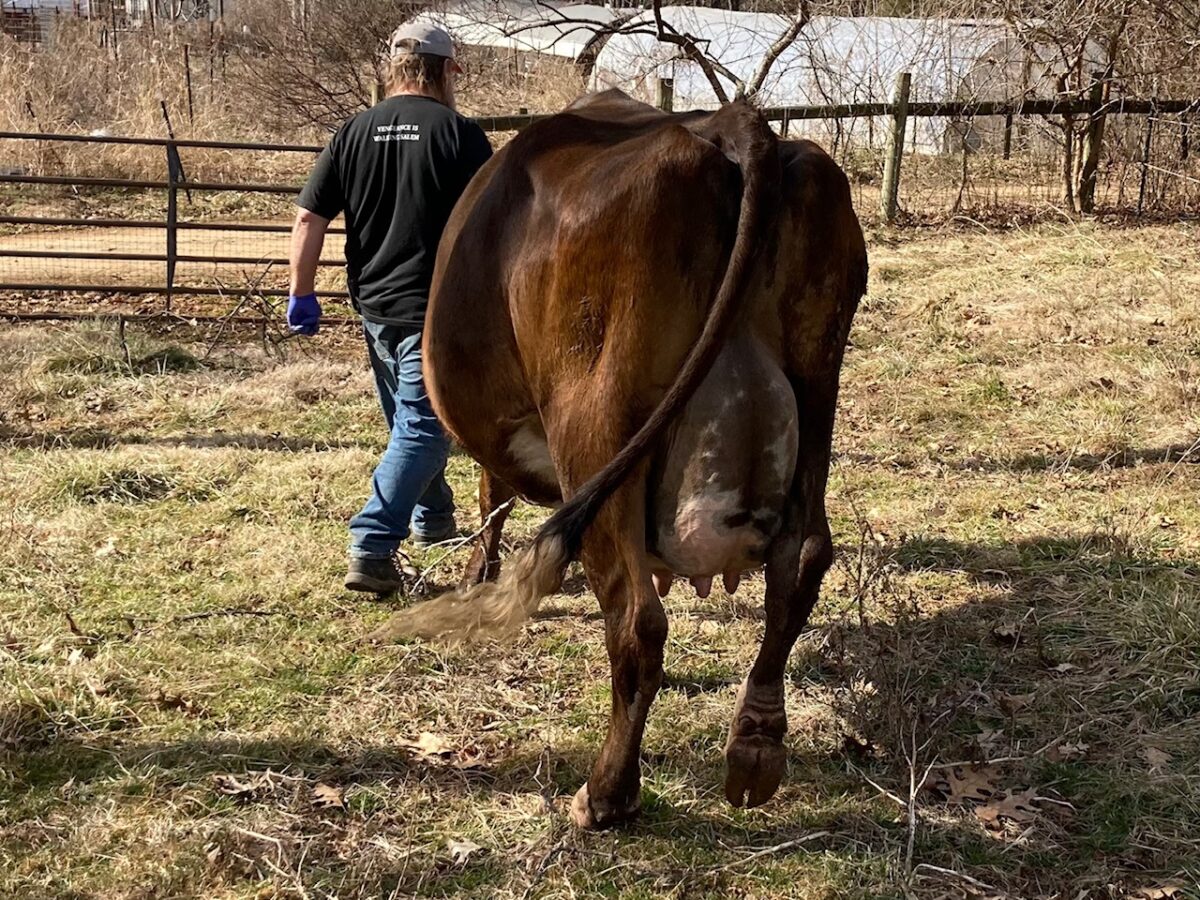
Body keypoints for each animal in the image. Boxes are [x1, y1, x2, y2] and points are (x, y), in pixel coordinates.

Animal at [368, 90, 868, 829]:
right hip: (816, 388)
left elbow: (493, 497)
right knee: (799, 565)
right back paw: (754, 749)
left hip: (594, 425)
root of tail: (734, 124)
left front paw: (477, 572)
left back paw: (607, 793)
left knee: (636, 622)